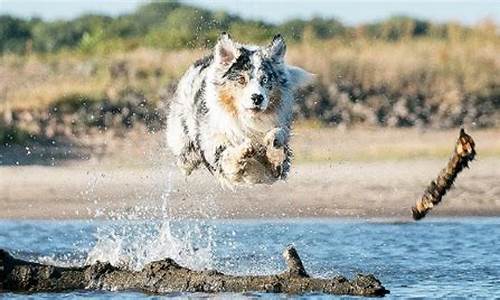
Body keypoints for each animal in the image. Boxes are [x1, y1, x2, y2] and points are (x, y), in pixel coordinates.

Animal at [166, 33, 310, 188]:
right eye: (241, 79)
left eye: (265, 79)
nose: (257, 98)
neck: (248, 120)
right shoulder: (215, 149)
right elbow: (228, 156)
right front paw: (245, 149)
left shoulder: (277, 166)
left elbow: (278, 139)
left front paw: (273, 143)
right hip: (184, 149)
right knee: (185, 162)